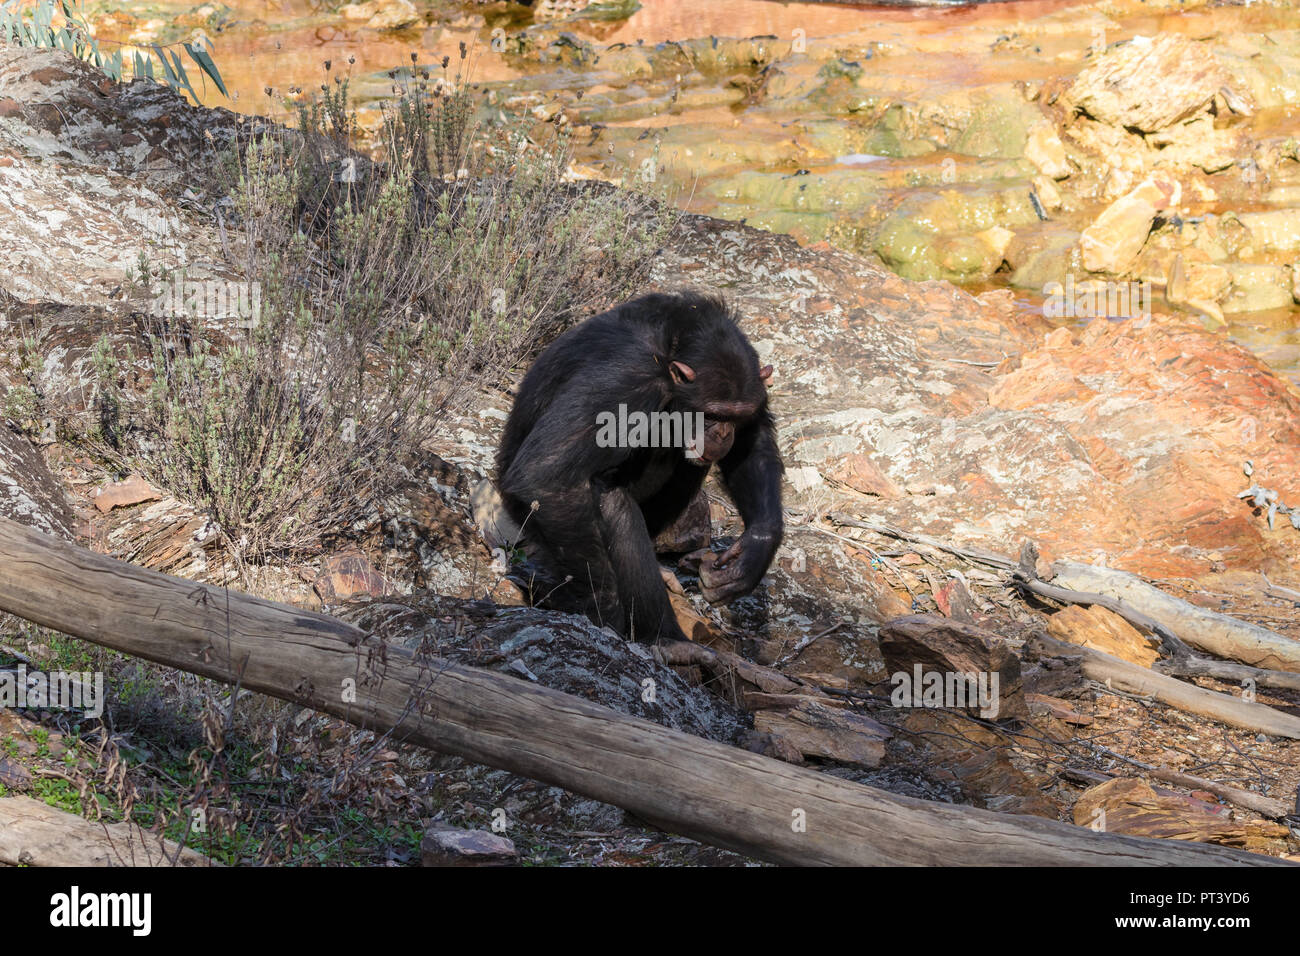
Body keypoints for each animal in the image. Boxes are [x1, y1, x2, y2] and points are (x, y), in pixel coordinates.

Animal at [495, 290, 783, 643]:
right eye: (713, 413)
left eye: (736, 415)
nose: (722, 433)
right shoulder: (627, 380)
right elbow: (545, 473)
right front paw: (603, 610)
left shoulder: (754, 388)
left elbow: (750, 445)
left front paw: (752, 554)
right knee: (610, 501)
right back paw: (669, 639)